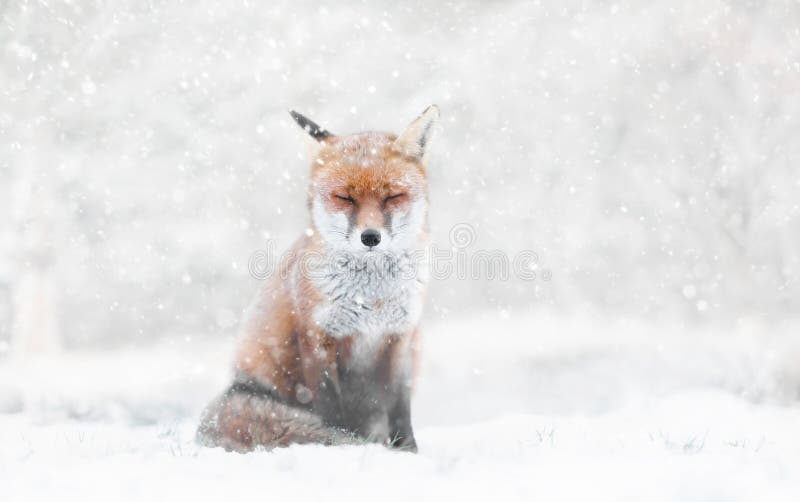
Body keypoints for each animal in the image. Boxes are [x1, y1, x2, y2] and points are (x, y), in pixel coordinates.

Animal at [196, 105, 439, 453]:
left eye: (392, 196)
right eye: (345, 198)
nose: (370, 237)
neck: (372, 298)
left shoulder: (401, 338)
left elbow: (399, 407)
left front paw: (407, 451)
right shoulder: (317, 337)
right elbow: (330, 410)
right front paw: (342, 446)